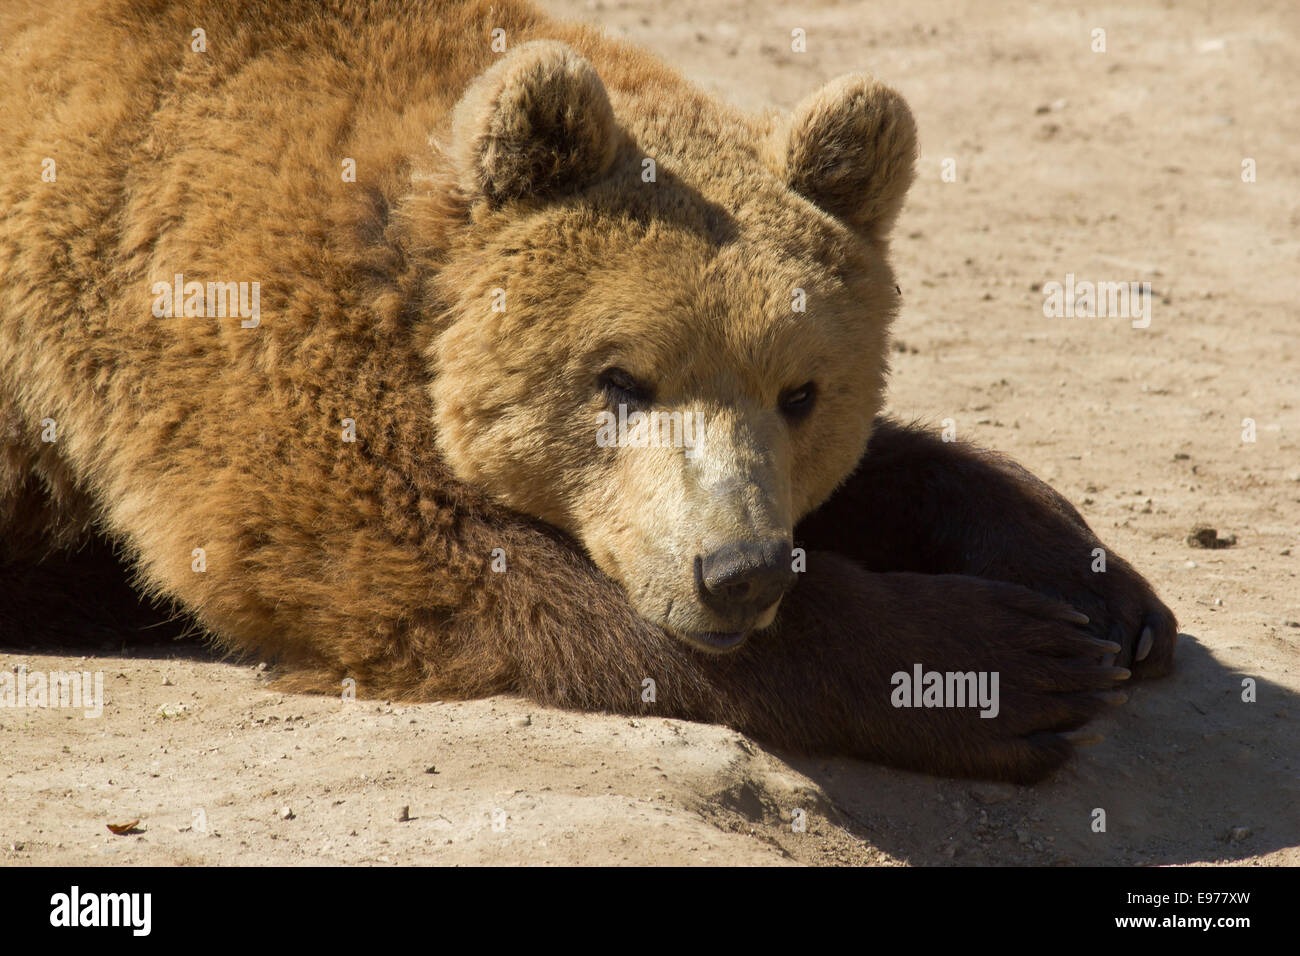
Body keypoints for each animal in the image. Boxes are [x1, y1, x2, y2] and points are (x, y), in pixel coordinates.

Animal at [0, 0, 1175, 783]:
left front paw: (1101, 593)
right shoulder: (228, 314)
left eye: (802, 392)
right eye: (620, 378)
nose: (738, 571)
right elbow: (397, 550)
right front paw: (1004, 663)